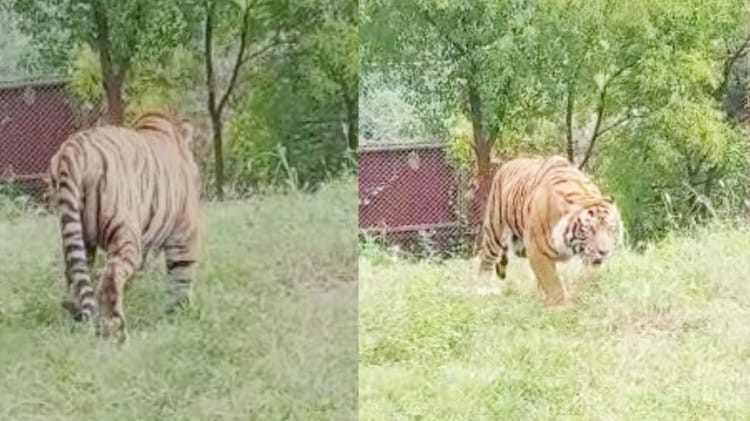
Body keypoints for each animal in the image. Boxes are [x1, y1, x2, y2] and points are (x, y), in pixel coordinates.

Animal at [48, 111, 201, 339]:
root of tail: (72, 151)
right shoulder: (184, 231)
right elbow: (181, 275)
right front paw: (180, 316)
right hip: (123, 228)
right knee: (111, 274)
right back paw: (114, 328)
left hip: (76, 233)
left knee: (76, 275)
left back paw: (76, 315)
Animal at [477, 155, 621, 306]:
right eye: (589, 230)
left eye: (611, 229)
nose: (604, 252)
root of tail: (506, 164)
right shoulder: (536, 250)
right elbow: (553, 283)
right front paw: (561, 307)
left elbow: (584, 277)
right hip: (495, 230)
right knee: (487, 259)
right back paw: (484, 290)